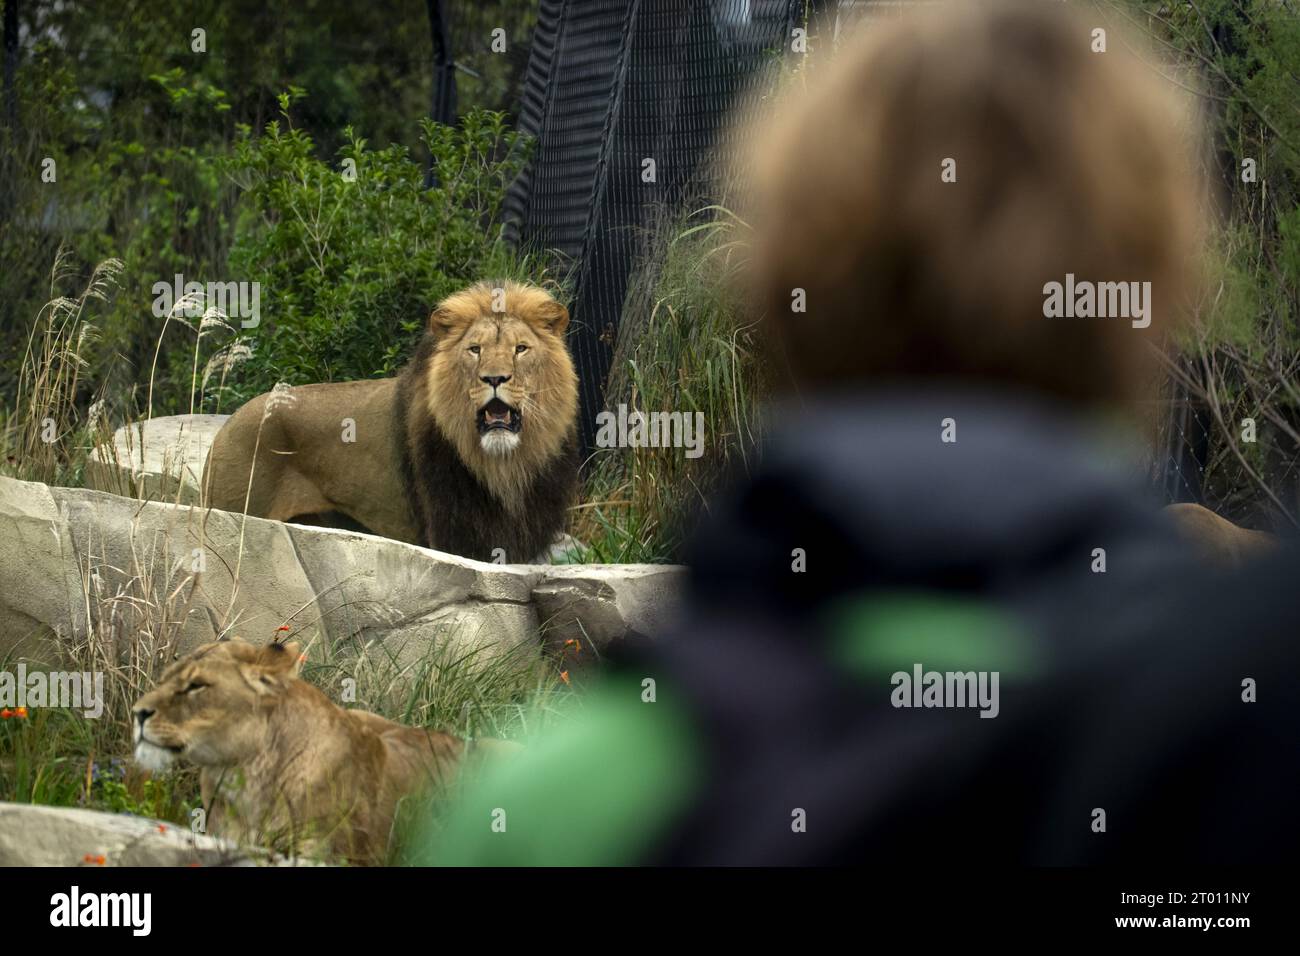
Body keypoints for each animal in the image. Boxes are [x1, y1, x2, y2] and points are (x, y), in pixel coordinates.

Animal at [201, 280, 580, 562]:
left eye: (520, 349)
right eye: (475, 349)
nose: (495, 378)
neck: (504, 465)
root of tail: (229, 423)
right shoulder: (452, 532)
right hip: (230, 509)